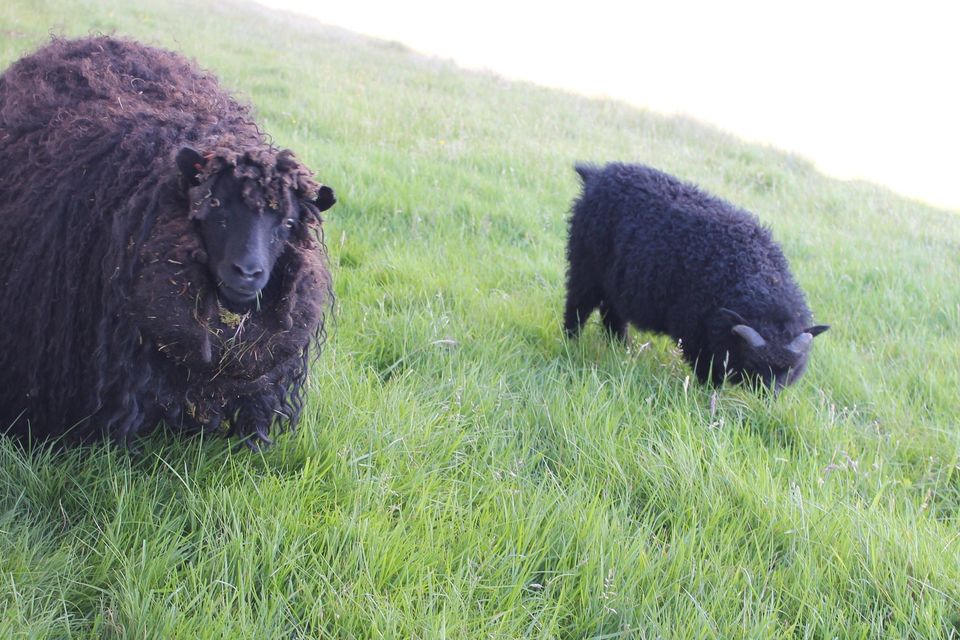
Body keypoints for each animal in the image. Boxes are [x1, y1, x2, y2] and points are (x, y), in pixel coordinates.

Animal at [564, 162, 829, 390]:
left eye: (790, 368)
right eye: (753, 362)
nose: (768, 395)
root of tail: (596, 175)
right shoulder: (695, 333)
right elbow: (708, 372)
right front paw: (710, 396)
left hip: (616, 283)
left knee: (613, 315)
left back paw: (621, 349)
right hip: (585, 267)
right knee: (577, 307)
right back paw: (571, 342)